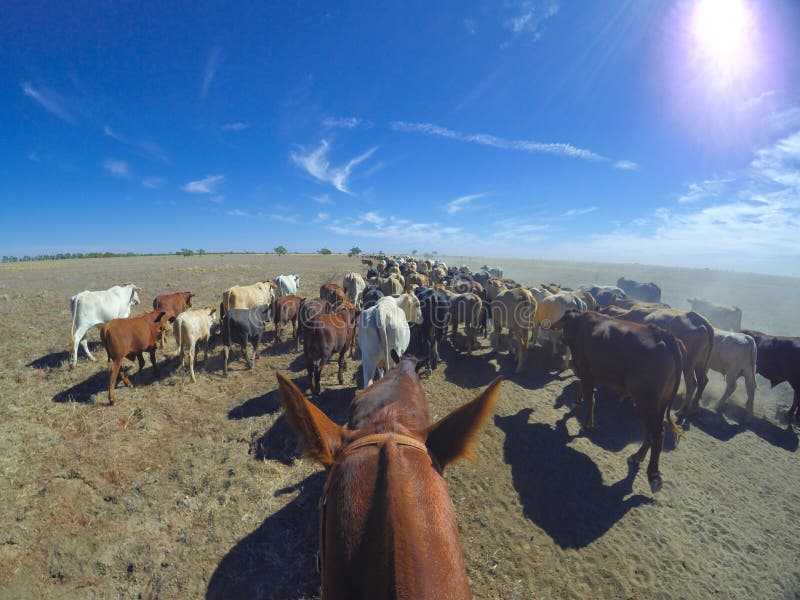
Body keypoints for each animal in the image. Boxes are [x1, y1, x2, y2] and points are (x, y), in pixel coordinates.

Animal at [551, 310, 684, 493]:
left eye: (564, 325)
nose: (561, 339)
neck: (580, 324)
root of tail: (663, 334)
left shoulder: (585, 367)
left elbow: (590, 398)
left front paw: (587, 424)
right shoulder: (586, 370)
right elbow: (583, 388)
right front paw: (576, 403)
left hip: (647, 402)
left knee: (657, 434)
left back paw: (653, 474)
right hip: (659, 403)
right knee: (652, 432)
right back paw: (637, 457)